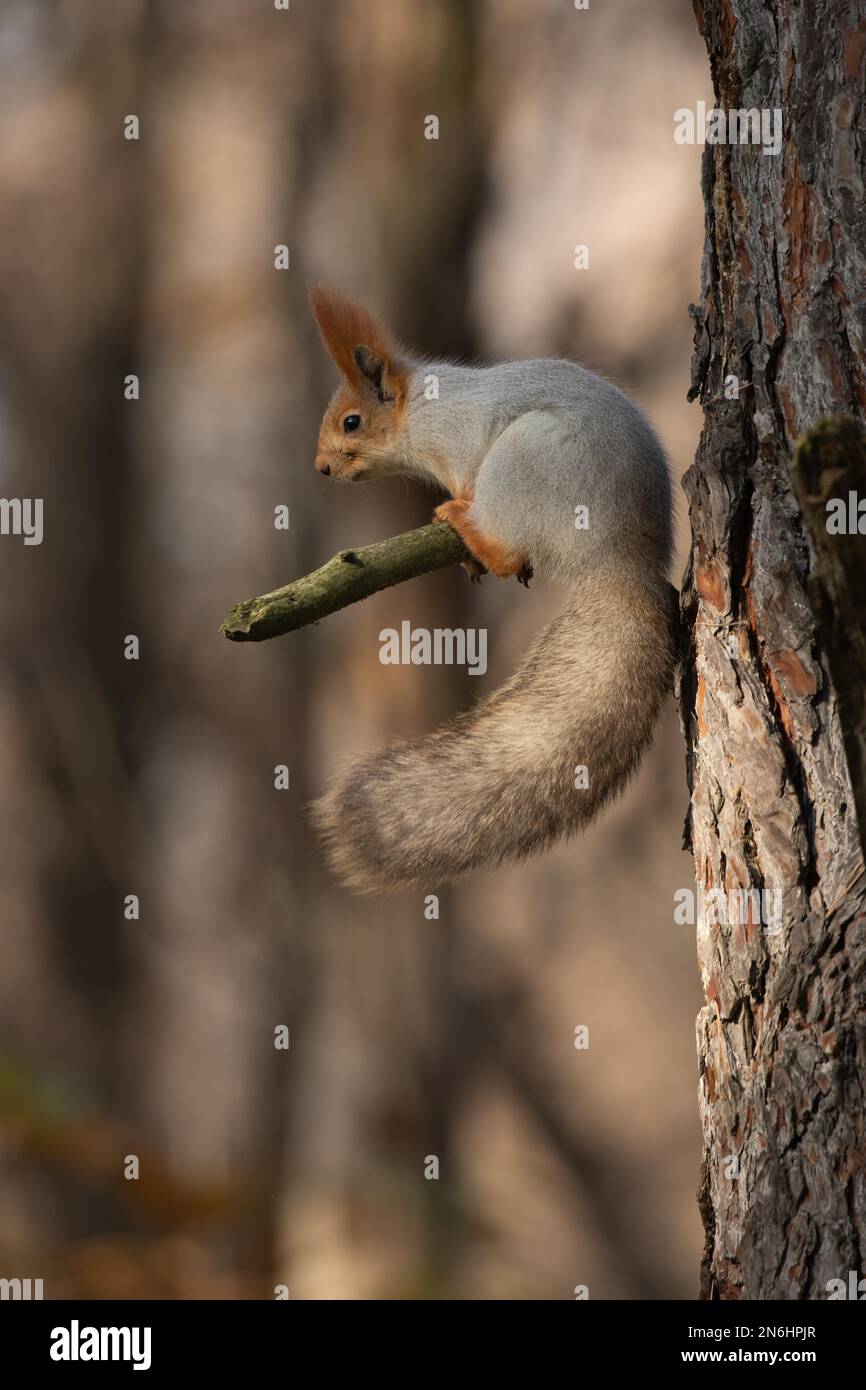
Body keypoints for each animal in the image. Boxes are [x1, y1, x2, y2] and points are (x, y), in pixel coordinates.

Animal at [309, 286, 677, 895]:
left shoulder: (457, 439)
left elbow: (463, 471)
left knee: (507, 538)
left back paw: (466, 524)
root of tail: (618, 559)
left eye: (352, 423)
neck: (418, 409)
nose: (320, 469)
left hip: (526, 462)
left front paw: (456, 500)